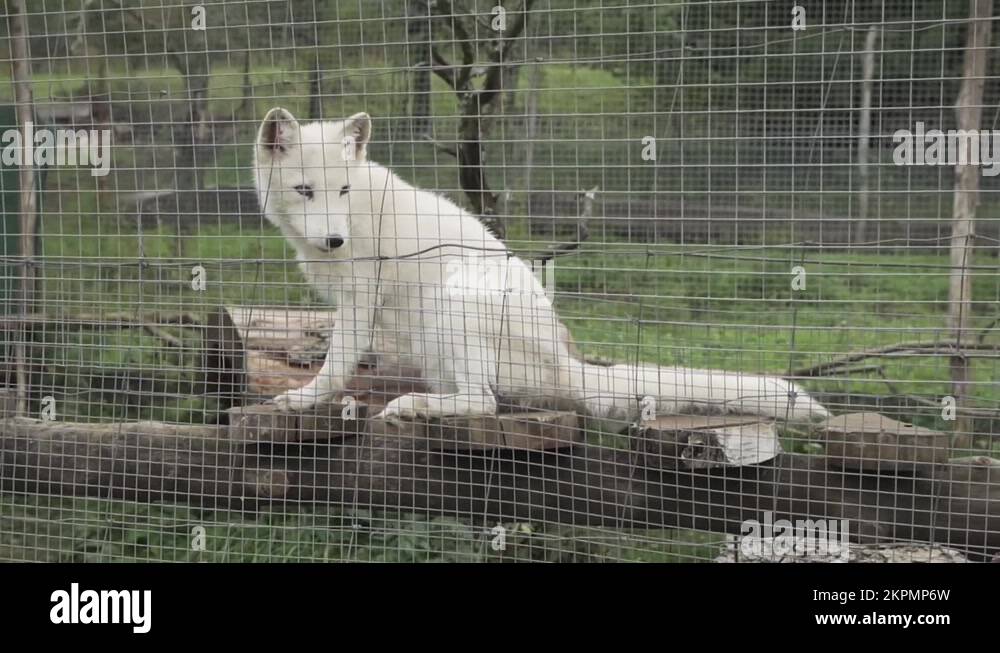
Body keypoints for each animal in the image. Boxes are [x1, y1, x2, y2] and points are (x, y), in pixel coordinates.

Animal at [253, 107, 829, 427]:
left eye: (342, 191)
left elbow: (336, 364)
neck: (356, 216)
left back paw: (413, 405)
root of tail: (566, 360)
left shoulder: (360, 299)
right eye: (305, 190)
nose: (335, 239)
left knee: (484, 404)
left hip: (453, 302)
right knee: (479, 396)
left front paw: (304, 399)